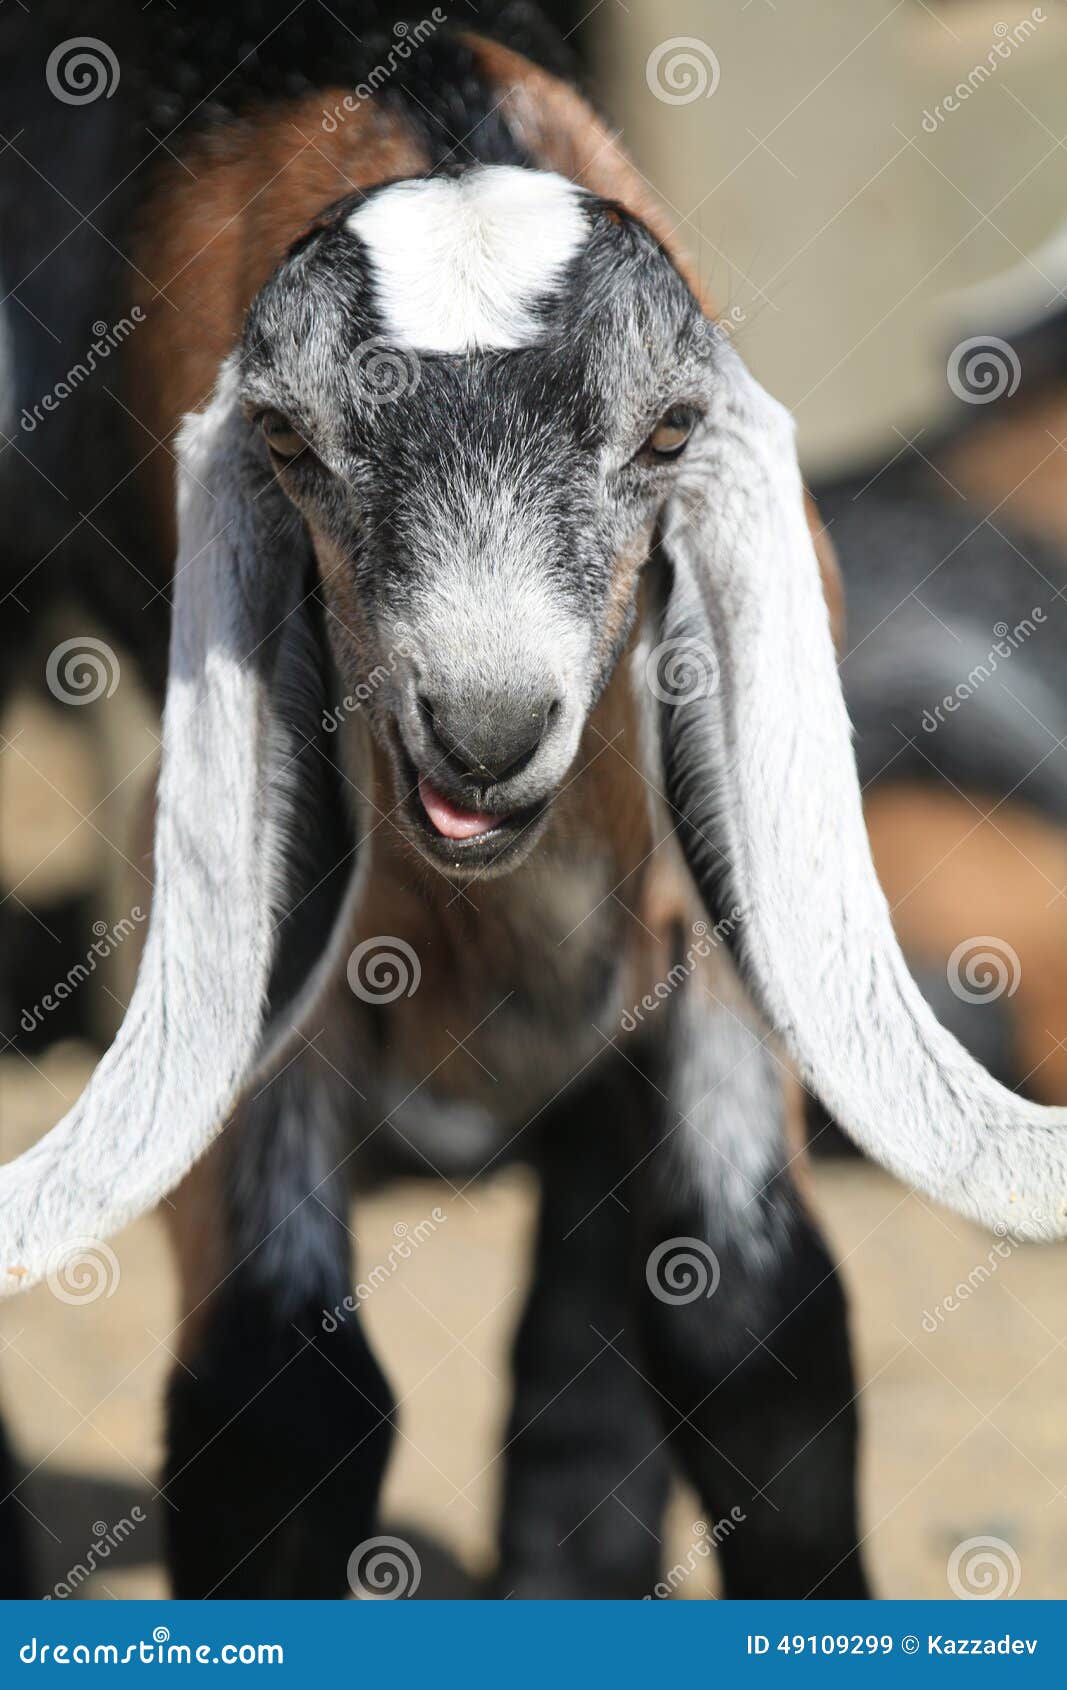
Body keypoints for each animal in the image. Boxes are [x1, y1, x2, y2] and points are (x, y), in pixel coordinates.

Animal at [3, 5, 1067, 1600]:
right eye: (290, 445)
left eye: (667, 433)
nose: (485, 726)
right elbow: (280, 1393)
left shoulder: (688, 907)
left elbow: (756, 1328)